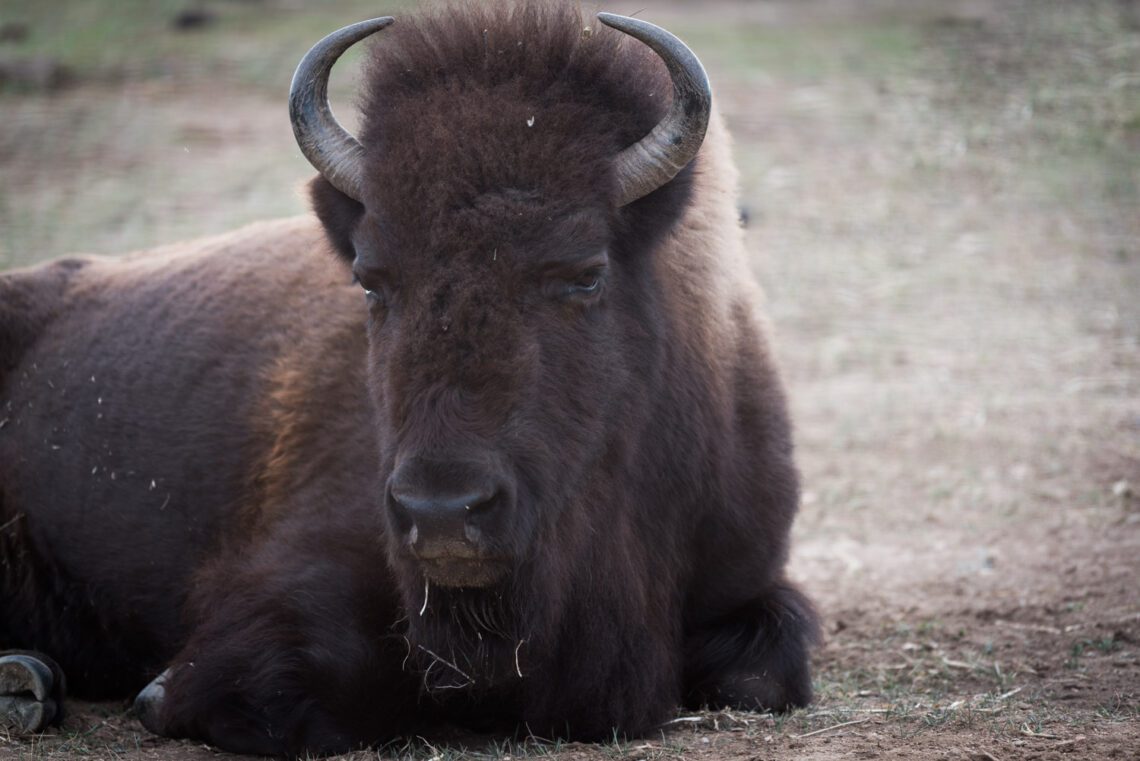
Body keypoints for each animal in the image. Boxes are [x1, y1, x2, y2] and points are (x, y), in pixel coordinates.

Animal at [0, 2, 818, 756]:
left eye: (585, 273)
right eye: (370, 279)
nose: (443, 512)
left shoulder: (746, 577)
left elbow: (762, 676)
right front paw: (160, 691)